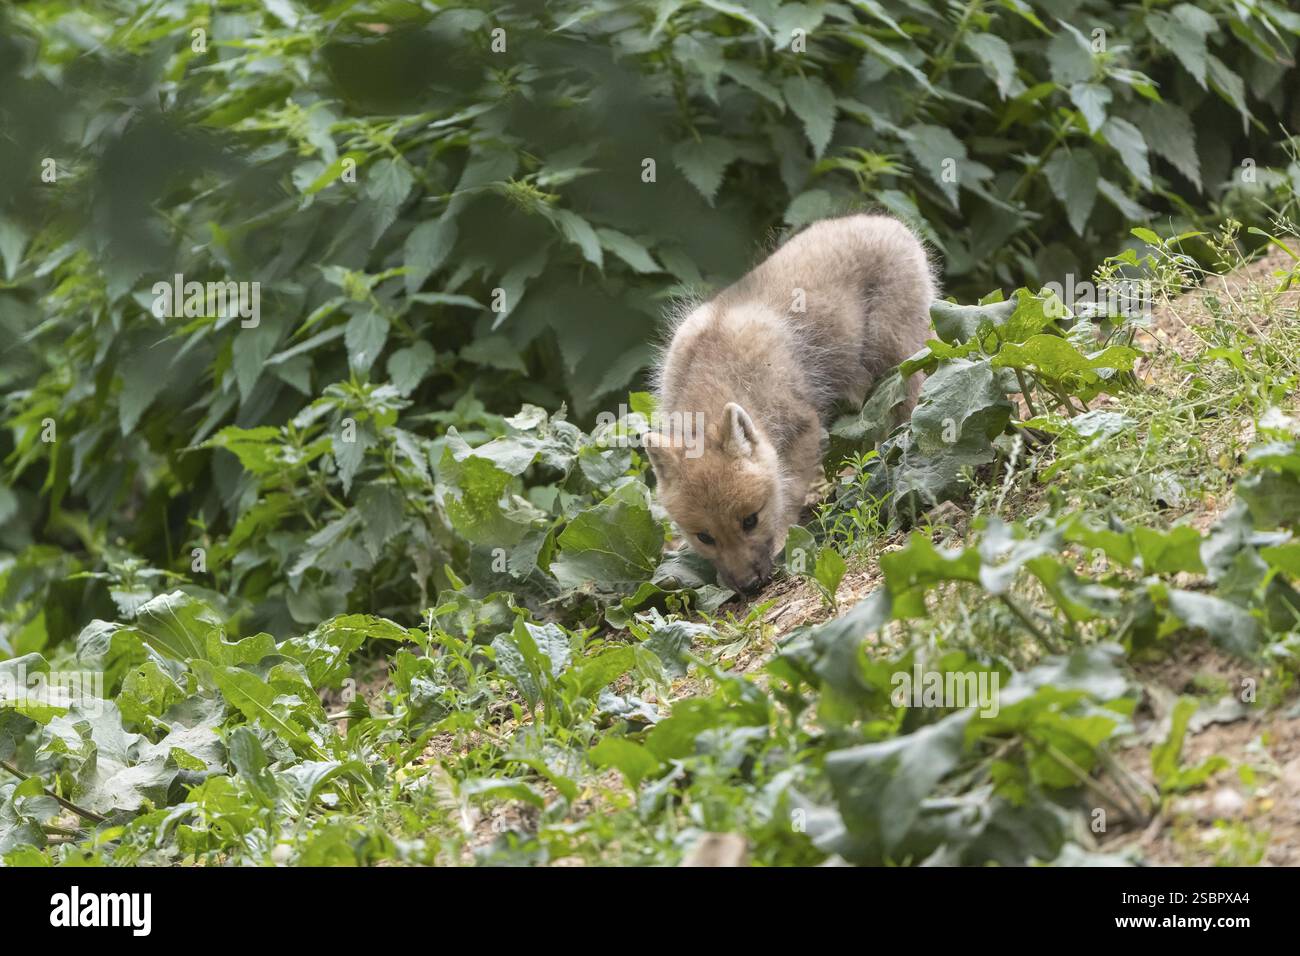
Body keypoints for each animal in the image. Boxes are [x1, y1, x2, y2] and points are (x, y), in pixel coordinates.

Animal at [643, 214, 936, 593]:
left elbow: (789, 491)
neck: (718, 372)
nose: (748, 586)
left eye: (750, 521)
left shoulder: (804, 427)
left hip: (899, 360)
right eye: (704, 537)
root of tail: (890, 222)